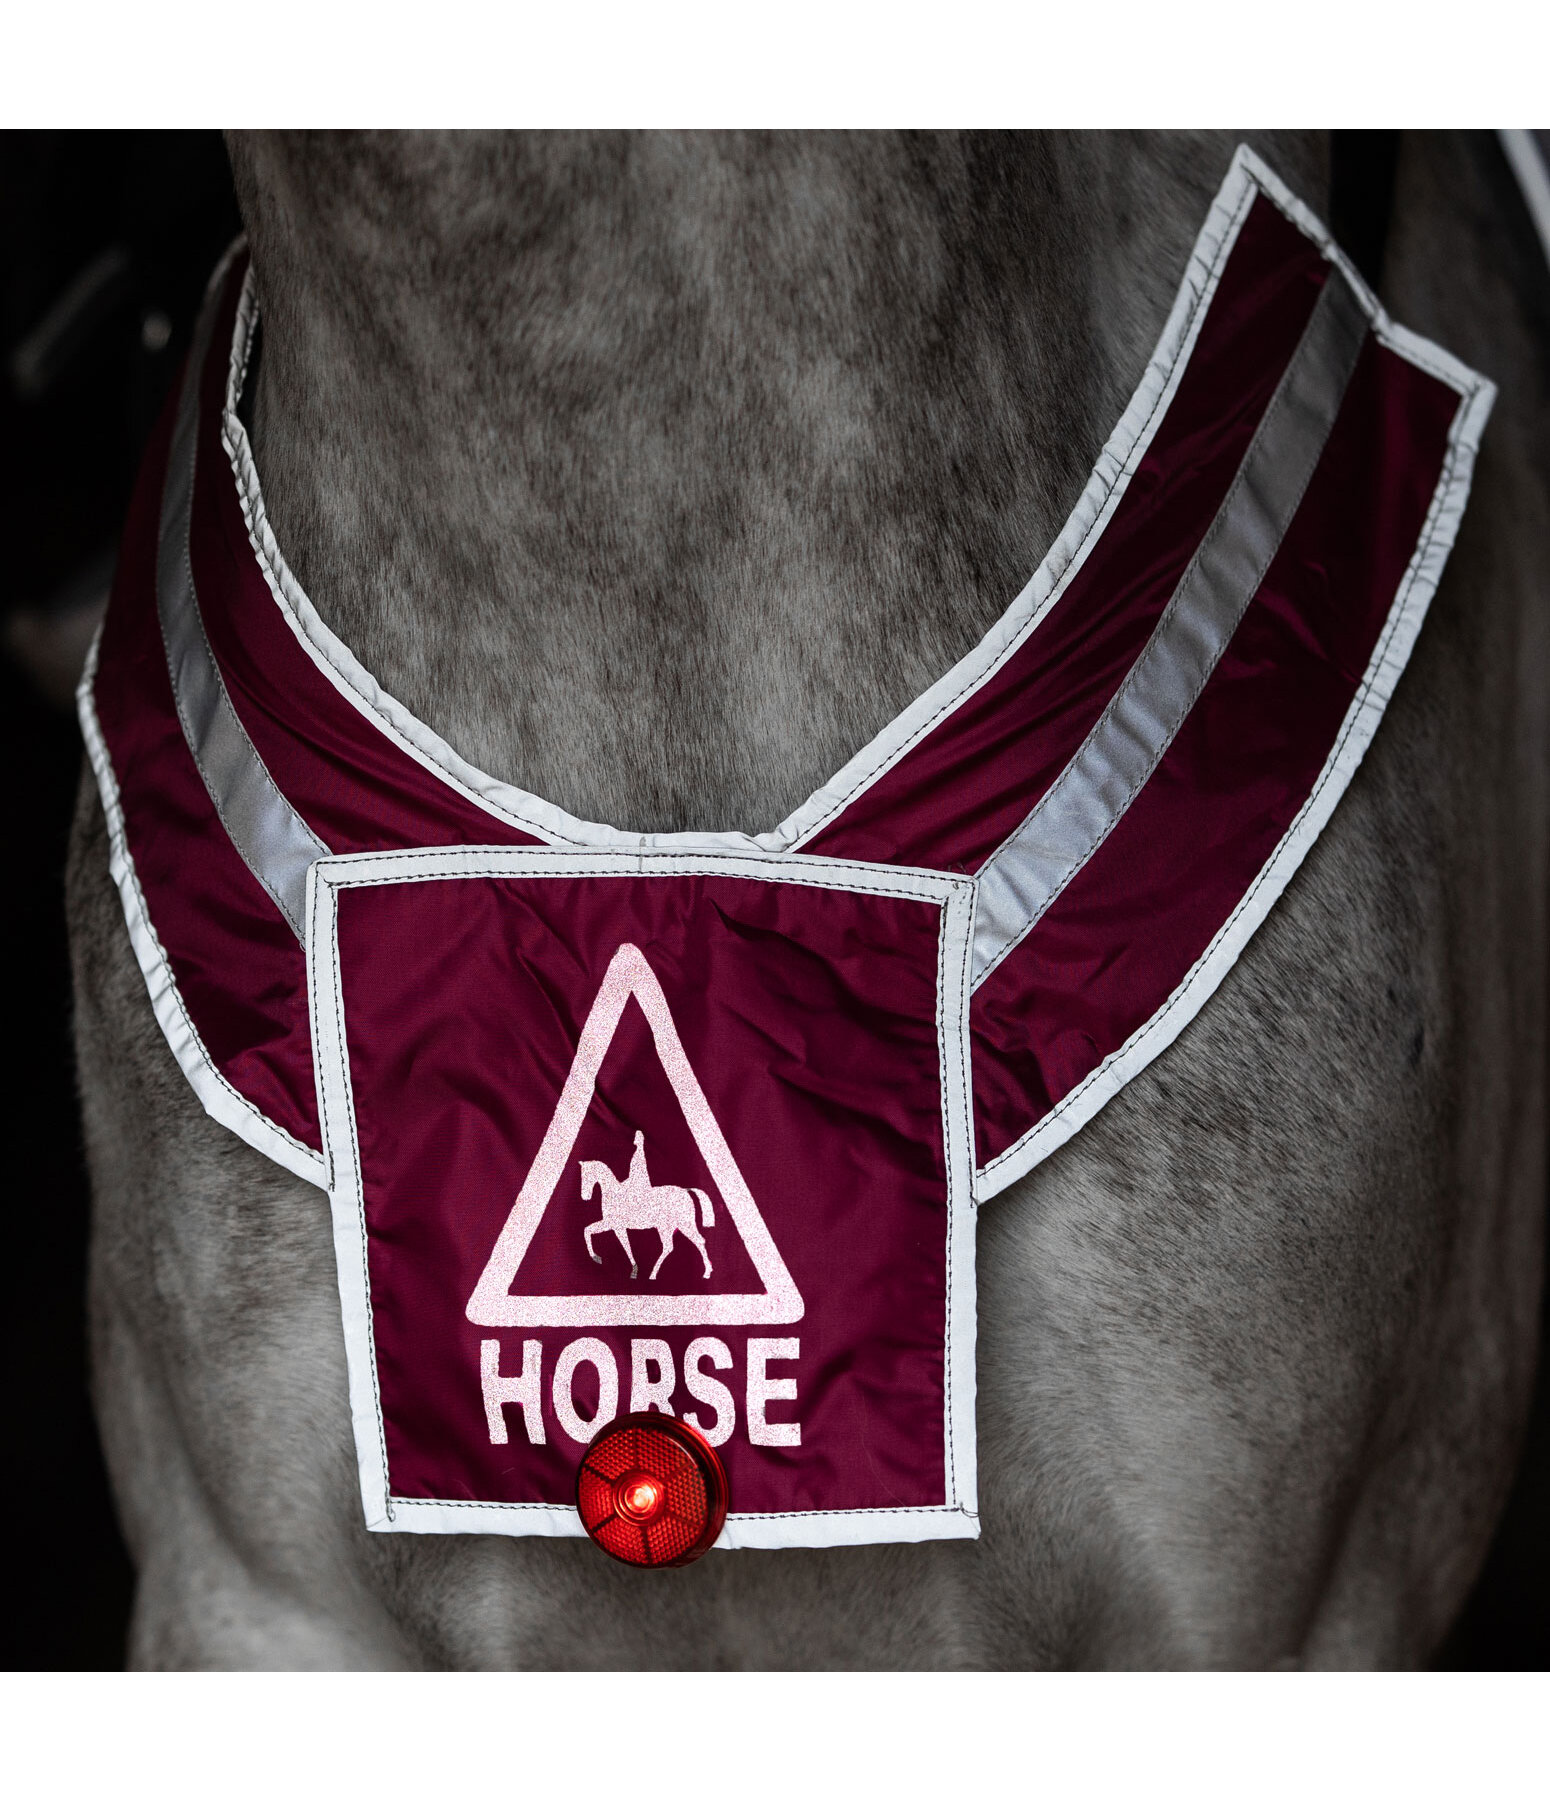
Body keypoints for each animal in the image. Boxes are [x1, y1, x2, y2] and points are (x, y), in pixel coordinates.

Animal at [581, 1152, 715, 1281]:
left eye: (587, 1176)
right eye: (582, 1176)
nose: (585, 1197)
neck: (614, 1194)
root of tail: (685, 1190)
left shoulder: (615, 1225)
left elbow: (625, 1245)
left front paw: (633, 1270)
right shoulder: (612, 1225)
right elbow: (588, 1230)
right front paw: (597, 1257)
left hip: (680, 1224)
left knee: (686, 1243)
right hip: (672, 1226)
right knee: (682, 1244)